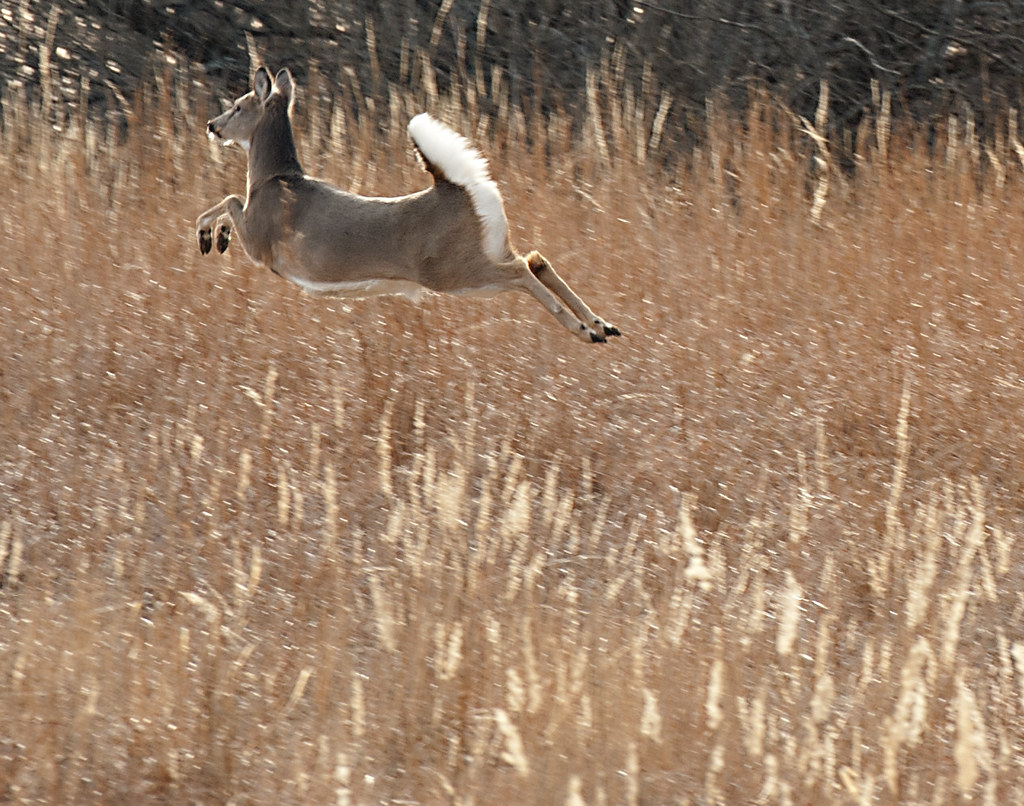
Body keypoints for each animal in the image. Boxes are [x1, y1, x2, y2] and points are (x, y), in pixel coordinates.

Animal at [195, 66, 620, 342]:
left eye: (238, 105)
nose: (212, 126)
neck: (274, 178)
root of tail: (457, 189)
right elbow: (229, 200)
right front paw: (215, 237)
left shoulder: (262, 244)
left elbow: (230, 199)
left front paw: (209, 236)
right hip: (492, 247)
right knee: (536, 259)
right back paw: (603, 326)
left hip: (453, 270)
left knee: (521, 271)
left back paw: (585, 331)